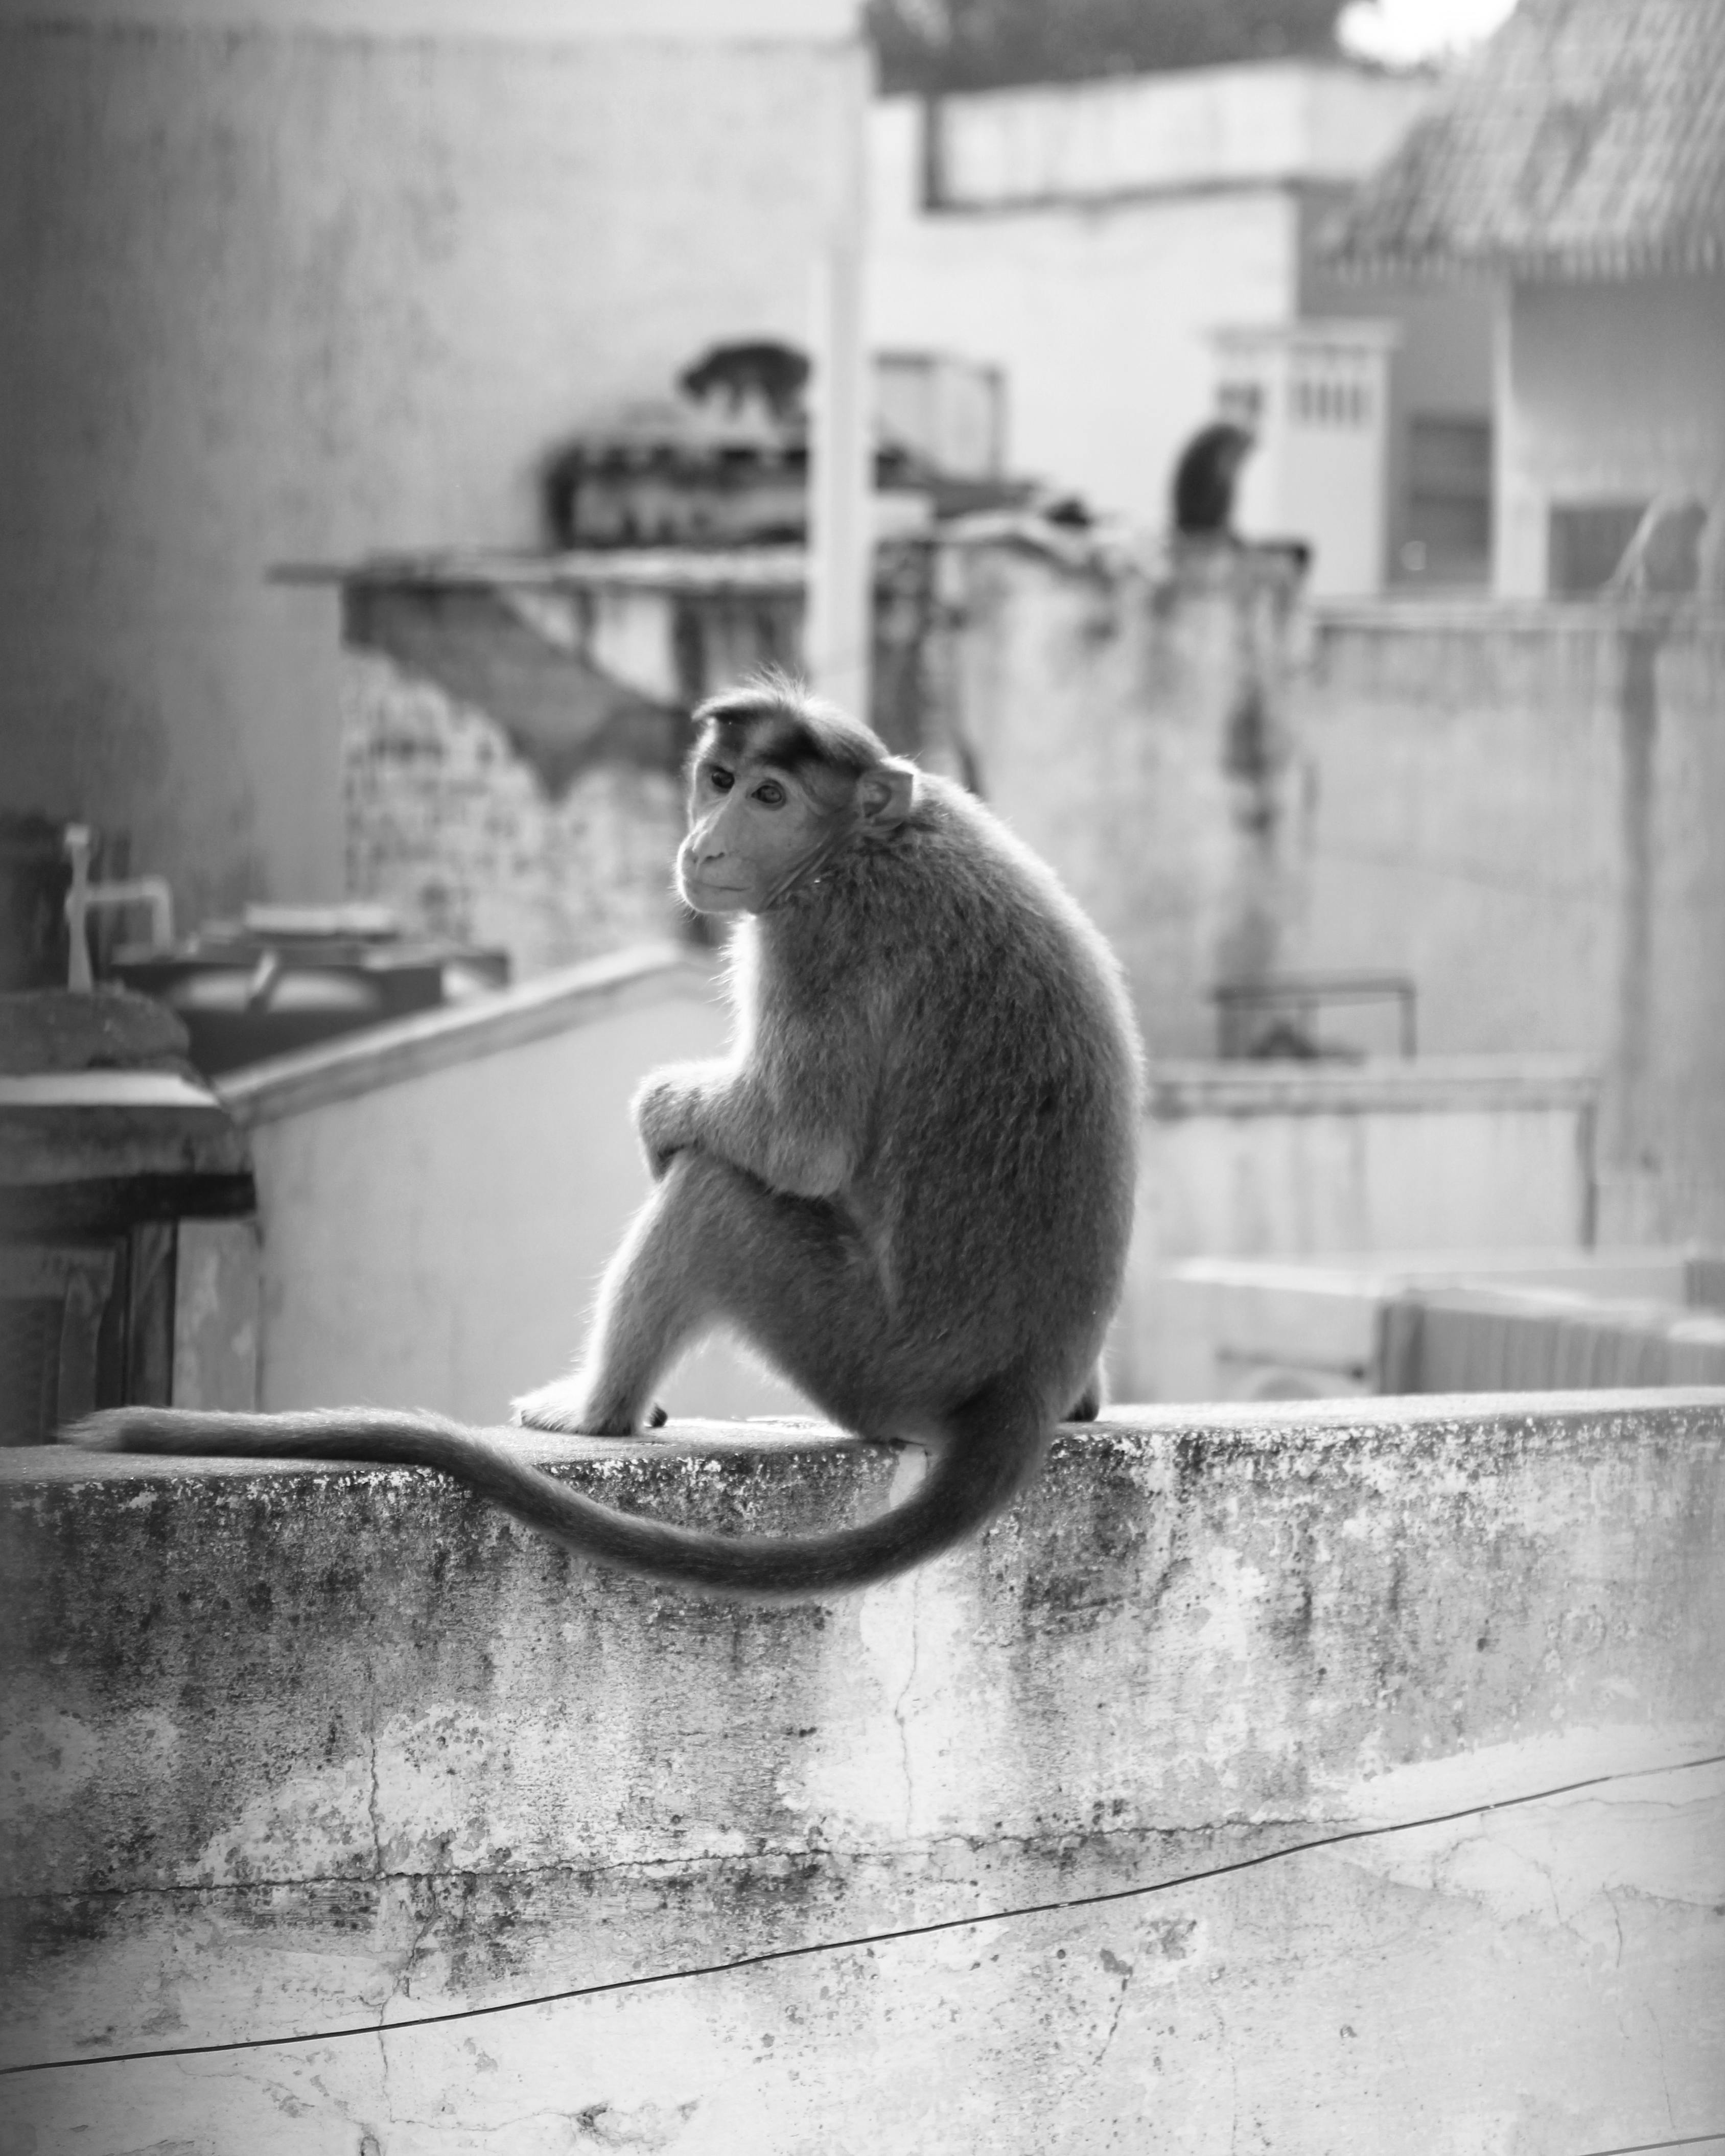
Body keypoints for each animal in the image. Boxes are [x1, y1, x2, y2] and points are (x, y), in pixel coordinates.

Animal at [64, 679, 1144, 1601]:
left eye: (773, 795)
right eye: (721, 780)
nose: (706, 842)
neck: (867, 839)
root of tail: (1020, 1388)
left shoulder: (818, 932)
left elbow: (797, 1144)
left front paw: (660, 1111)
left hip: (867, 1357)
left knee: (713, 1195)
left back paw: (598, 1408)